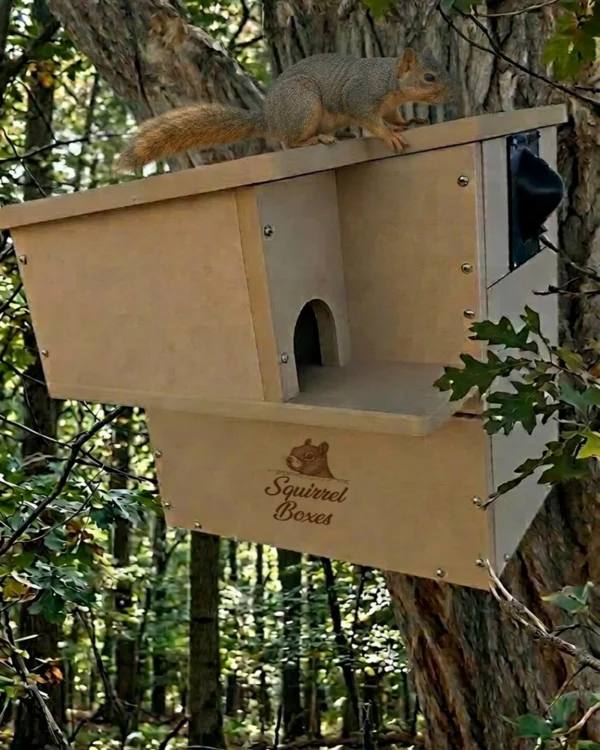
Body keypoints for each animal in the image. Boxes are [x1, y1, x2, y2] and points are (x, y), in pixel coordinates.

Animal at [117, 48, 455, 171]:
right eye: (429, 77)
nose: (450, 96)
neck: (388, 80)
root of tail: (270, 118)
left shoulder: (388, 106)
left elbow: (391, 117)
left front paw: (406, 123)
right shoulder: (359, 95)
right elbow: (370, 120)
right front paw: (389, 135)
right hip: (302, 103)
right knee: (289, 143)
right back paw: (316, 139)